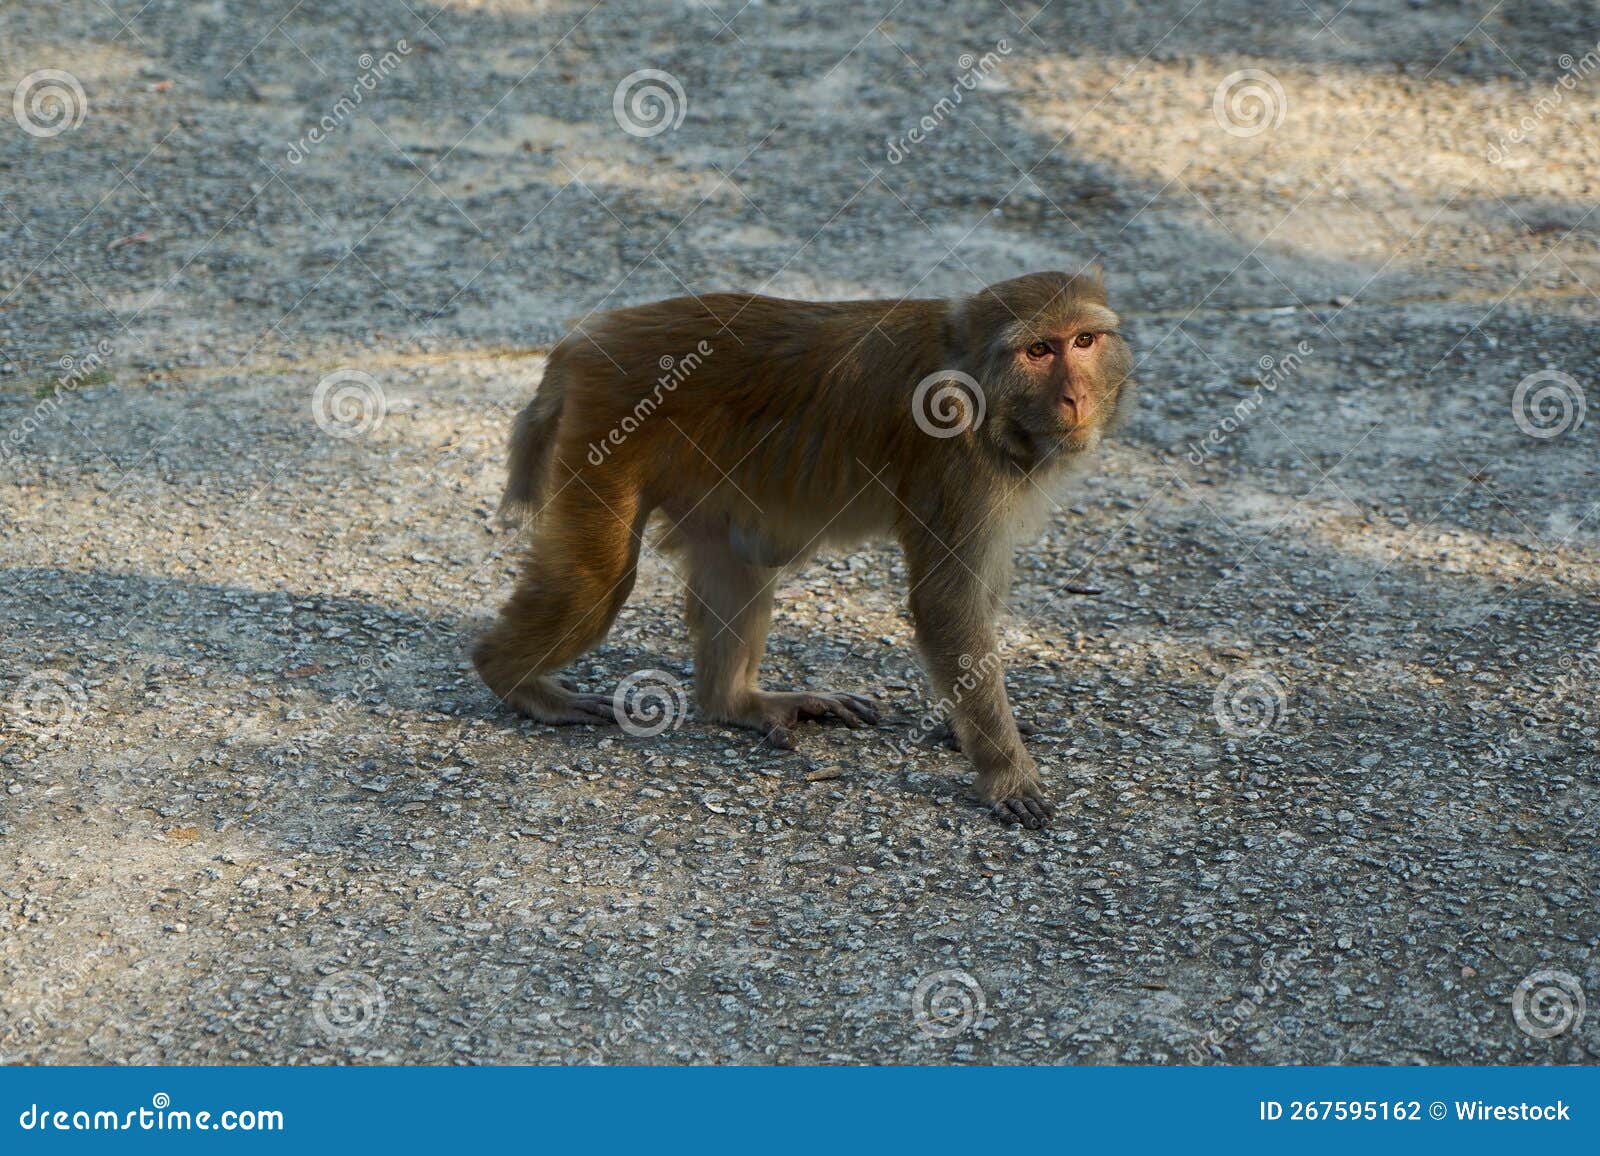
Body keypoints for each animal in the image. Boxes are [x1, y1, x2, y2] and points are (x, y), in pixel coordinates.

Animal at [473, 270, 1135, 828]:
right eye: (1038, 351)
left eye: (1083, 341)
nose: (1075, 398)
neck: (979, 381)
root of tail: (583, 341)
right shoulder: (957, 457)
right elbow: (947, 602)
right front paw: (1005, 773)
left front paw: (962, 723)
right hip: (607, 429)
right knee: (598, 581)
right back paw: (515, 680)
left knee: (739, 560)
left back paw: (737, 702)